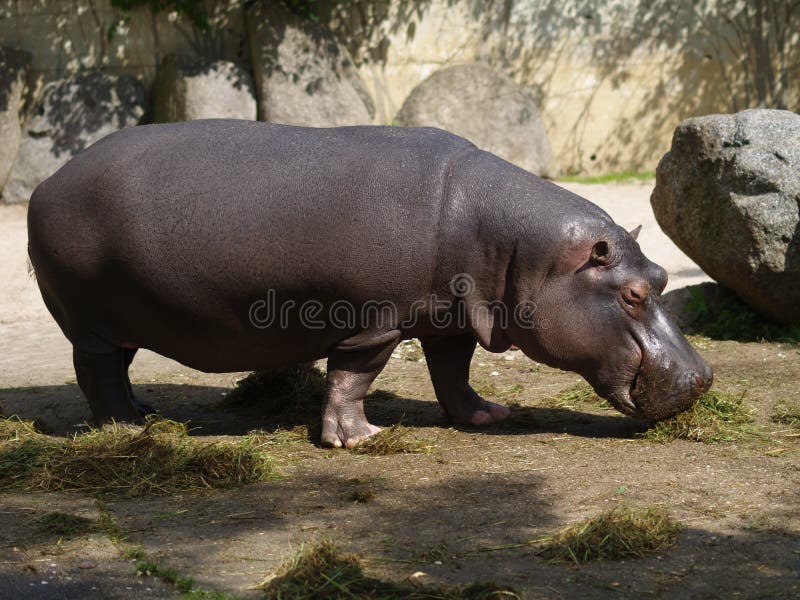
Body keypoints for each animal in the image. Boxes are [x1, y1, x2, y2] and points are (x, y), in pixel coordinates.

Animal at [27, 120, 712, 447]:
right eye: (633, 295)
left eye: (660, 275)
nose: (704, 378)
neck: (521, 250)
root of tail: (45, 184)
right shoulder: (375, 323)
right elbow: (353, 379)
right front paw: (359, 439)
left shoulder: (451, 320)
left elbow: (453, 373)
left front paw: (488, 416)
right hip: (88, 323)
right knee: (97, 373)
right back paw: (127, 427)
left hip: (117, 322)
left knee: (117, 368)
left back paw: (144, 411)